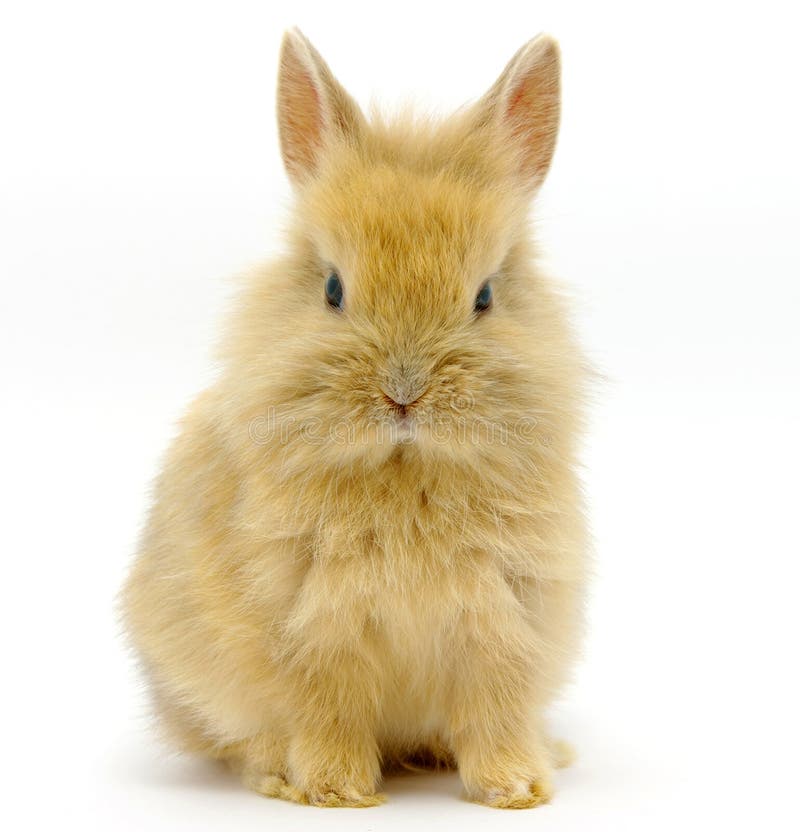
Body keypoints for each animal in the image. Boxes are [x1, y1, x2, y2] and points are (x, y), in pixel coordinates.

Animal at [121, 27, 589, 810]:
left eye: (486, 296)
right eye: (334, 289)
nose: (404, 394)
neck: (405, 471)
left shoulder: (503, 619)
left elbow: (493, 710)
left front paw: (516, 788)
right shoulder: (307, 626)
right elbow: (326, 711)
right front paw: (335, 790)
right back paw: (277, 774)